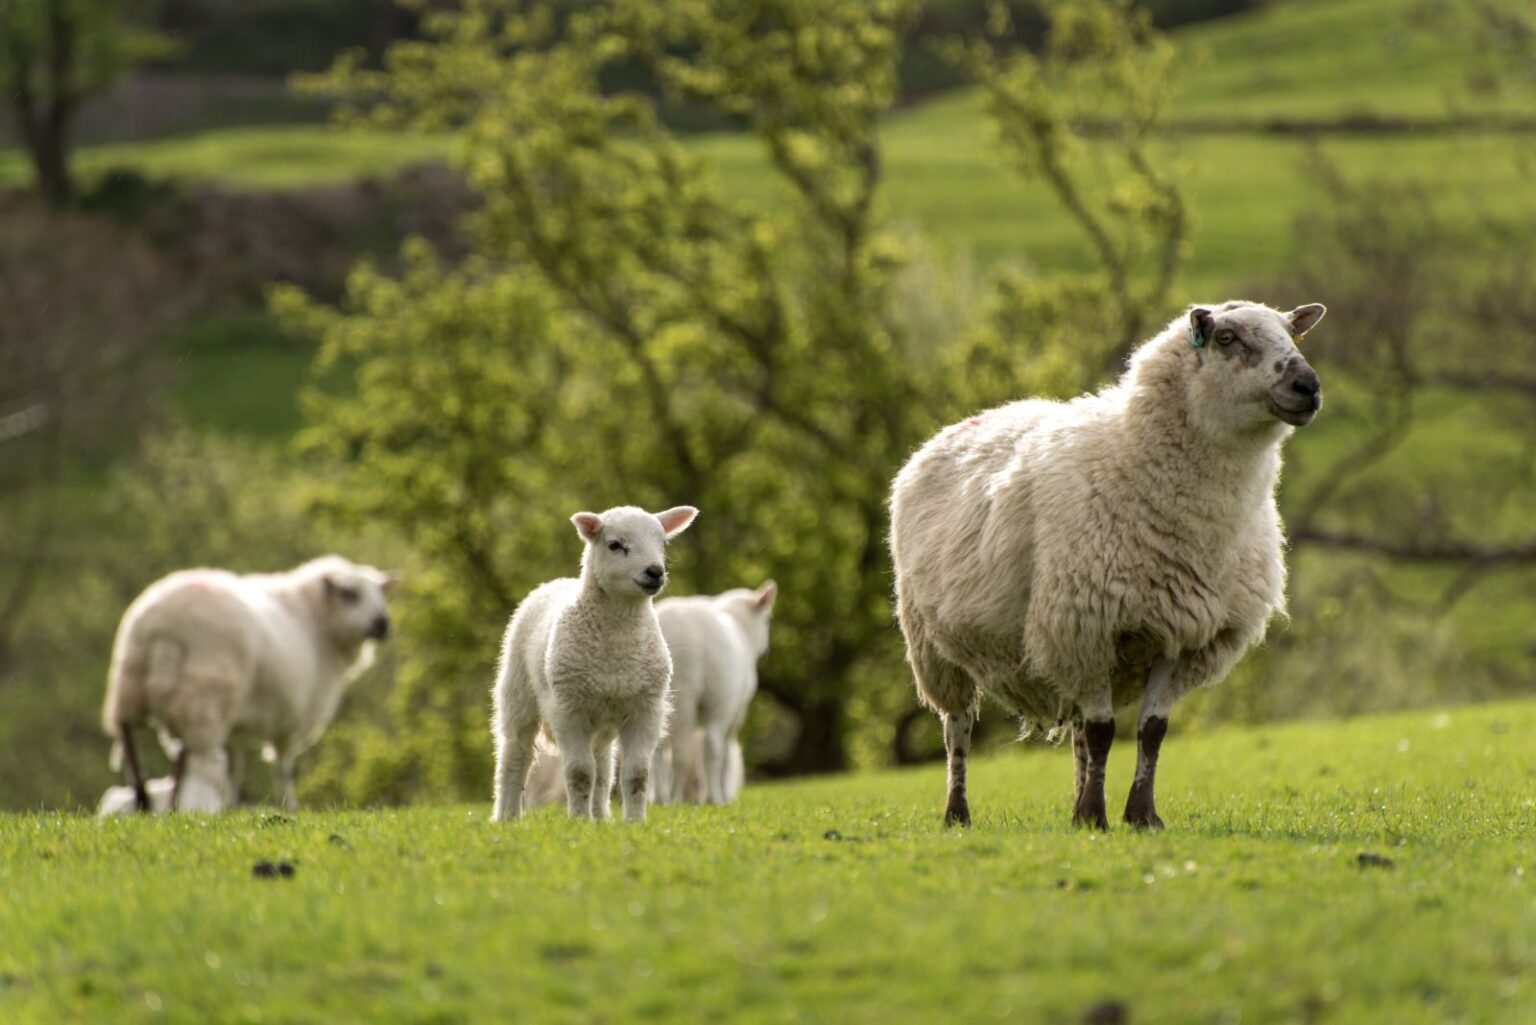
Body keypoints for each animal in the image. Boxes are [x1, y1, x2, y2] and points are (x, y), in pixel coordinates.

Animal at [101, 556, 396, 812]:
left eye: (381, 593)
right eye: (349, 594)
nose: (382, 624)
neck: (315, 619)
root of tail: (164, 625)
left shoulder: (237, 726)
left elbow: (235, 768)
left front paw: (231, 807)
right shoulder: (288, 719)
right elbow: (282, 765)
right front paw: (287, 805)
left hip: (132, 680)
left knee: (129, 739)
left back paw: (145, 802)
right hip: (203, 693)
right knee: (193, 757)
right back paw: (174, 806)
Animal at [490, 505, 699, 823]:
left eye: (663, 543)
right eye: (615, 545)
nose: (655, 572)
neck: (617, 643)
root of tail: (557, 582)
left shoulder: (646, 708)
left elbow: (636, 774)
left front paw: (635, 822)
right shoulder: (568, 709)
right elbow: (579, 773)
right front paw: (578, 821)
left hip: (602, 719)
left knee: (602, 767)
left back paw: (600, 817)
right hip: (518, 691)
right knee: (515, 755)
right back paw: (508, 817)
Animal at [651, 581, 776, 805]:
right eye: (768, 619)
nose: (765, 650)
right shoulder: (738, 710)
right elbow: (727, 749)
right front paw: (726, 795)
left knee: (662, 745)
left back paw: (662, 799)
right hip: (715, 694)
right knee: (709, 744)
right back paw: (710, 797)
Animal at [889, 301, 1327, 830]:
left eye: (1292, 335)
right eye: (1226, 338)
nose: (1308, 385)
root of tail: (961, 425)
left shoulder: (1180, 634)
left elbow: (1152, 730)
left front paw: (1140, 816)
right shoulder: (1086, 627)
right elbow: (1103, 732)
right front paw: (1099, 817)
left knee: (1076, 729)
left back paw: (1076, 807)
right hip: (932, 645)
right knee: (958, 729)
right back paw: (958, 813)